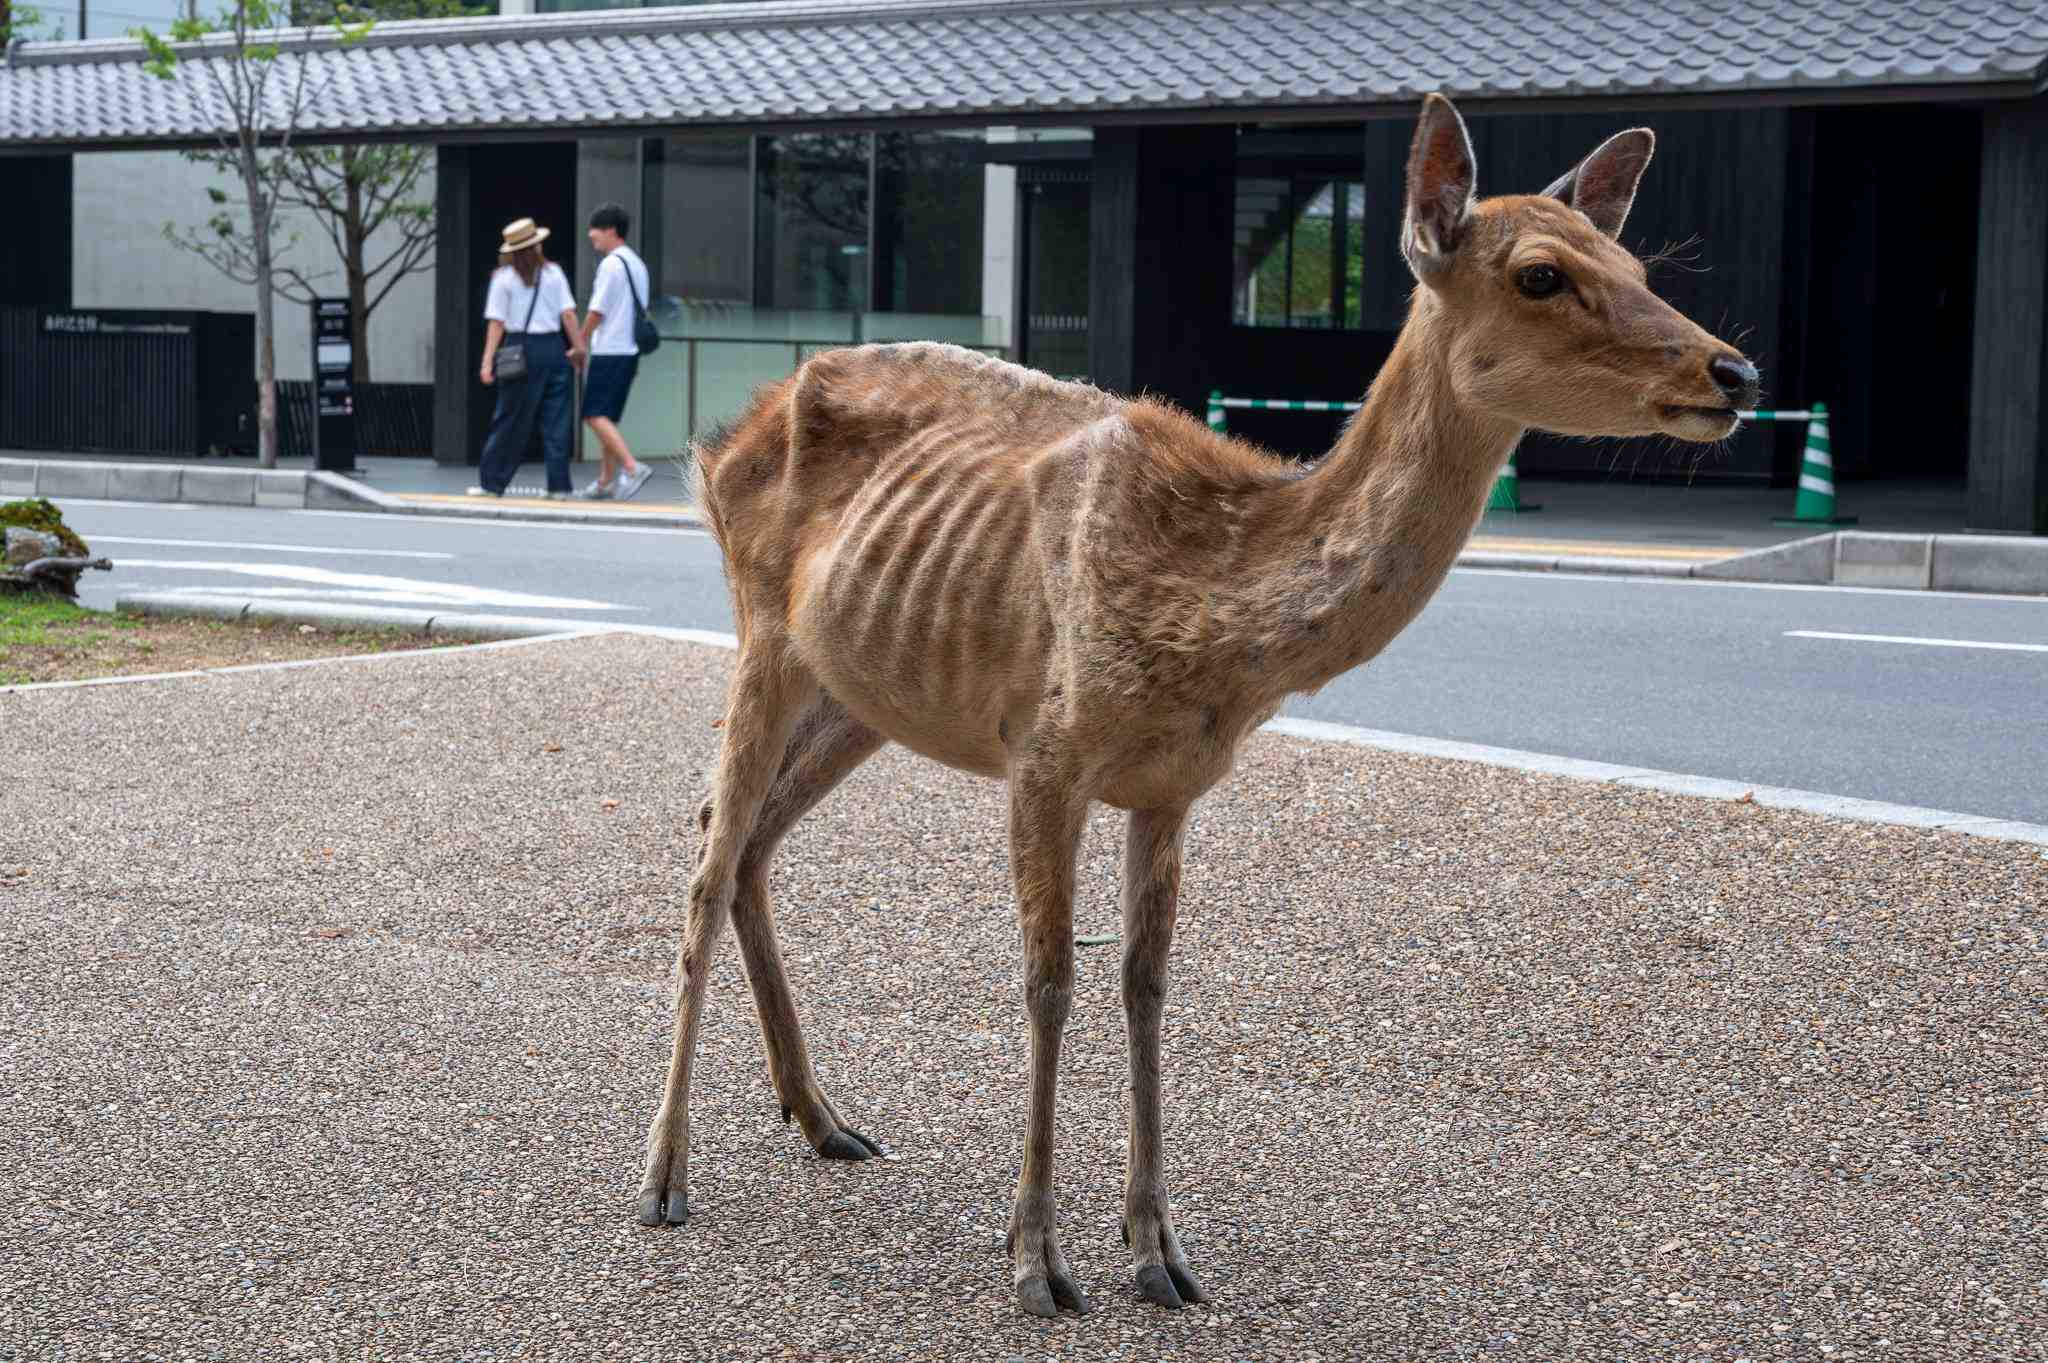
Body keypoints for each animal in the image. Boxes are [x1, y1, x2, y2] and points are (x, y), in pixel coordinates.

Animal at [634, 92, 1760, 1318]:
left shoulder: (1175, 784)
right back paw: (664, 1174)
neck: (1215, 631)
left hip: (865, 689)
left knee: (746, 837)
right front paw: (1036, 1261)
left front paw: (1157, 1251)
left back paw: (823, 1117)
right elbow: (1049, 979)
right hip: (762, 626)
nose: (1734, 370)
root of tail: (719, 440)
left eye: (1637, 262)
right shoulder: (1043, 750)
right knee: (706, 856)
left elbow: (1146, 983)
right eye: (1542, 274)